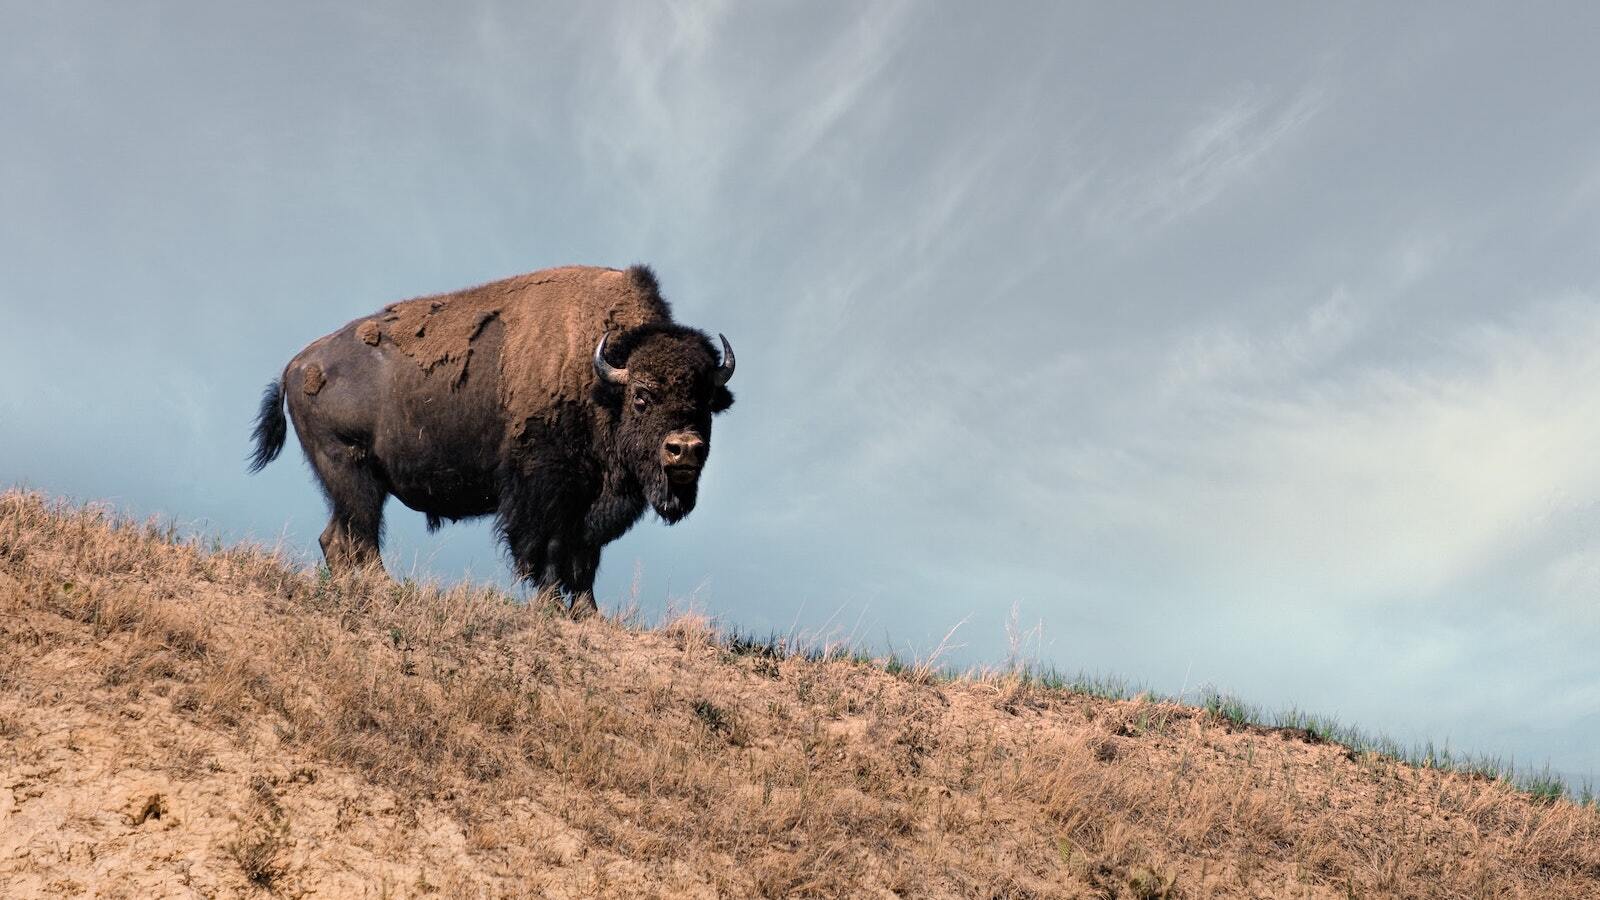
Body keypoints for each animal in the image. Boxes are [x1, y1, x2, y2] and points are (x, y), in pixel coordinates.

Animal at [248, 264, 735, 615]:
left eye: (705, 401)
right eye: (642, 396)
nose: (684, 449)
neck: (601, 382)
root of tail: (296, 365)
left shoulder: (590, 503)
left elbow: (585, 559)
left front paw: (589, 614)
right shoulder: (546, 491)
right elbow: (550, 551)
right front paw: (549, 606)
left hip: (351, 482)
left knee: (338, 537)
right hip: (352, 472)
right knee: (361, 536)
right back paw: (385, 588)